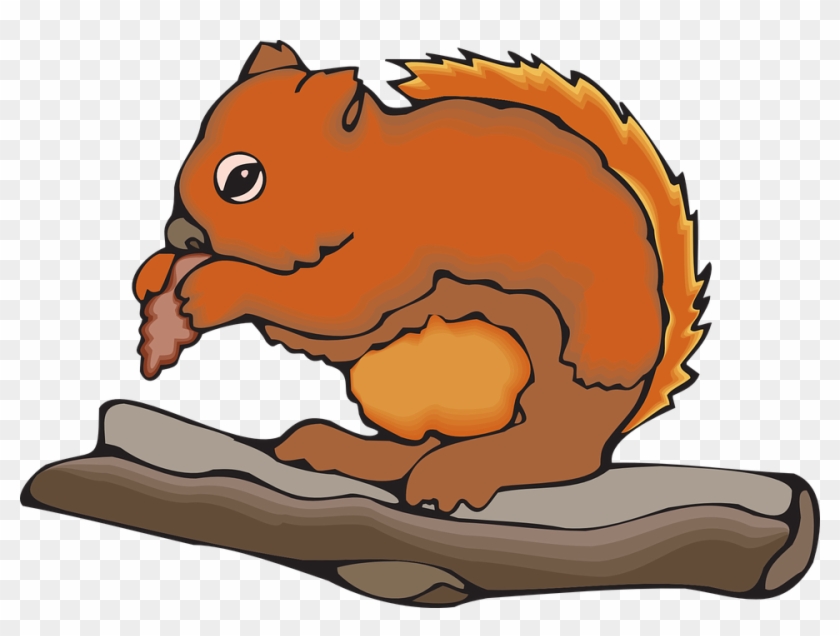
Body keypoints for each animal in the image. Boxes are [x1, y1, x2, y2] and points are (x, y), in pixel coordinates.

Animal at [132, 41, 710, 512]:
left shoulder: (400, 242)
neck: (375, 177)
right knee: (419, 445)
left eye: (242, 178)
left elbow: (334, 303)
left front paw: (213, 287)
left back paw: (468, 471)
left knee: (555, 452)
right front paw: (154, 272)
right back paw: (342, 450)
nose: (180, 235)